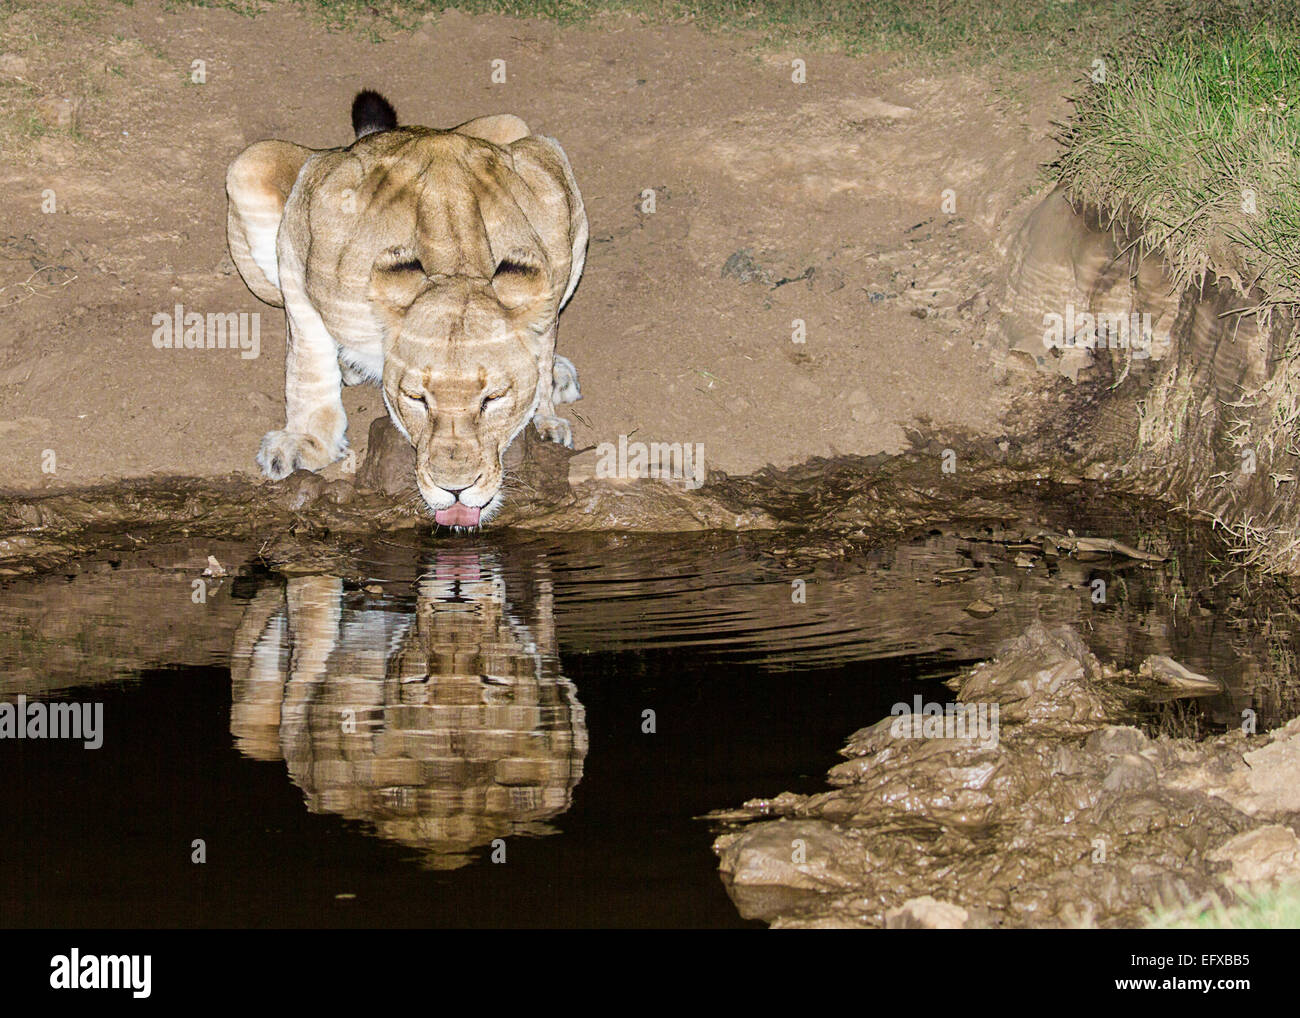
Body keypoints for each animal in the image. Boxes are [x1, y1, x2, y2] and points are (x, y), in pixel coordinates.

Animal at [225, 89, 588, 527]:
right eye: (416, 399)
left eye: (493, 399)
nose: (456, 489)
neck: (455, 263)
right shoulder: (307, 217)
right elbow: (307, 360)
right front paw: (306, 440)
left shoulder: (551, 187)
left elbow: (545, 337)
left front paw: (545, 414)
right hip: (250, 164)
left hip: (514, 126)